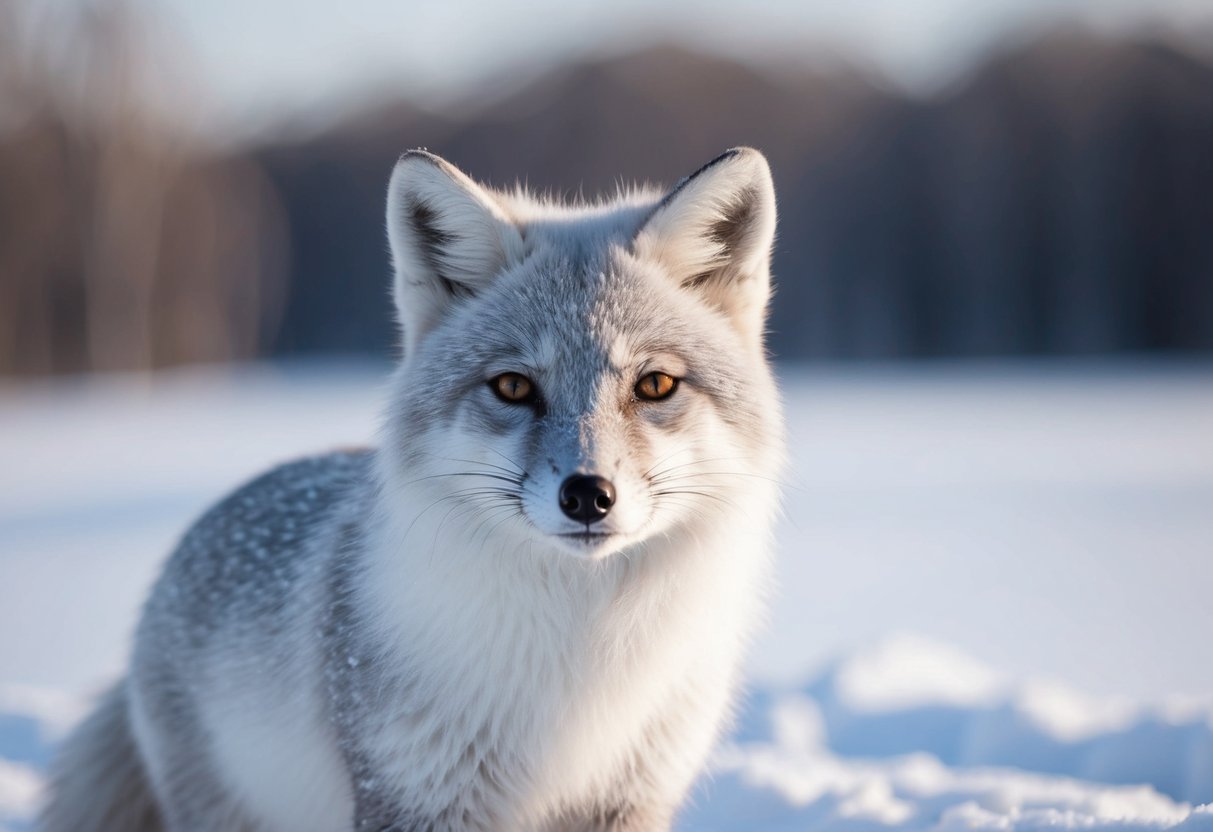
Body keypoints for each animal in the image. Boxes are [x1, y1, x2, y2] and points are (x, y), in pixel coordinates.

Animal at [40, 147, 784, 832]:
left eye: (654, 385)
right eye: (513, 387)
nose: (587, 495)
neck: (580, 650)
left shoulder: (628, 798)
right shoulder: (412, 794)